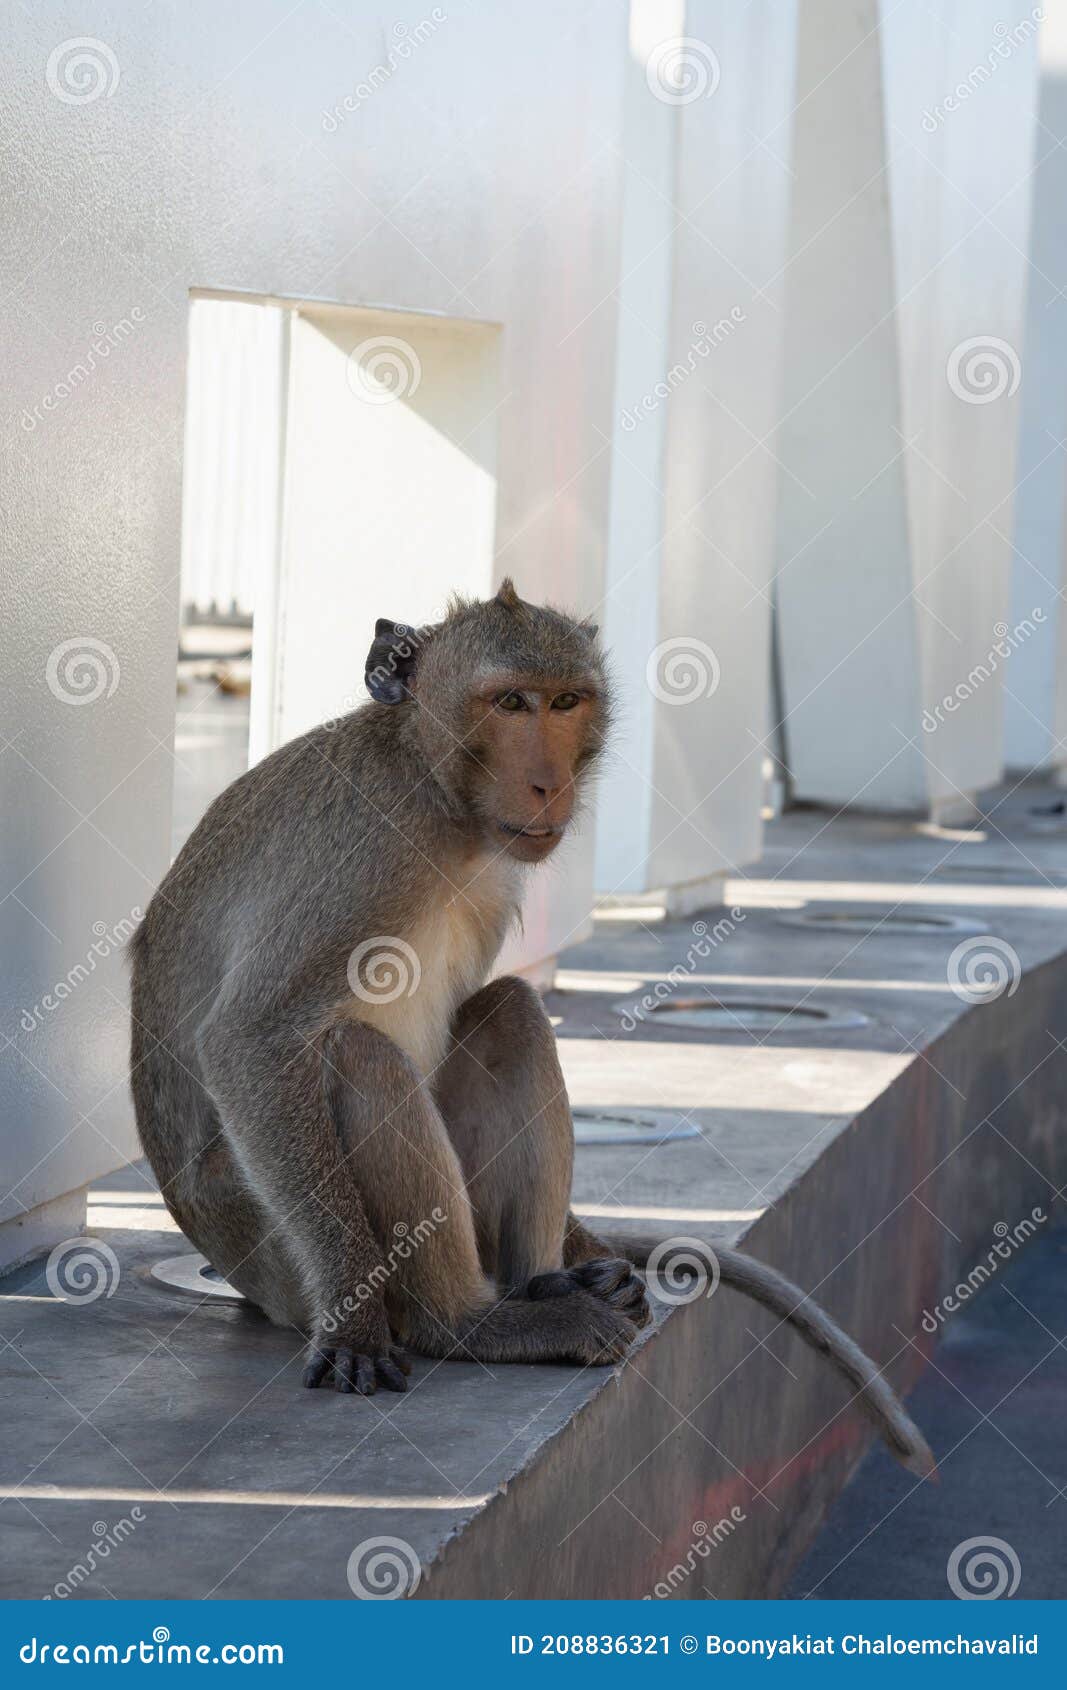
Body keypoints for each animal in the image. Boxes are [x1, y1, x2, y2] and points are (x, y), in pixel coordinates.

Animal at [129, 579, 934, 1478]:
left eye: (564, 703)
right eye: (509, 703)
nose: (548, 784)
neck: (438, 795)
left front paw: (595, 1259)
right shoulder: (364, 849)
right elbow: (252, 1039)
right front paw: (355, 1318)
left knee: (509, 1011)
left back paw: (550, 1282)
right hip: (267, 1252)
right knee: (356, 1057)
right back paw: (469, 1323)